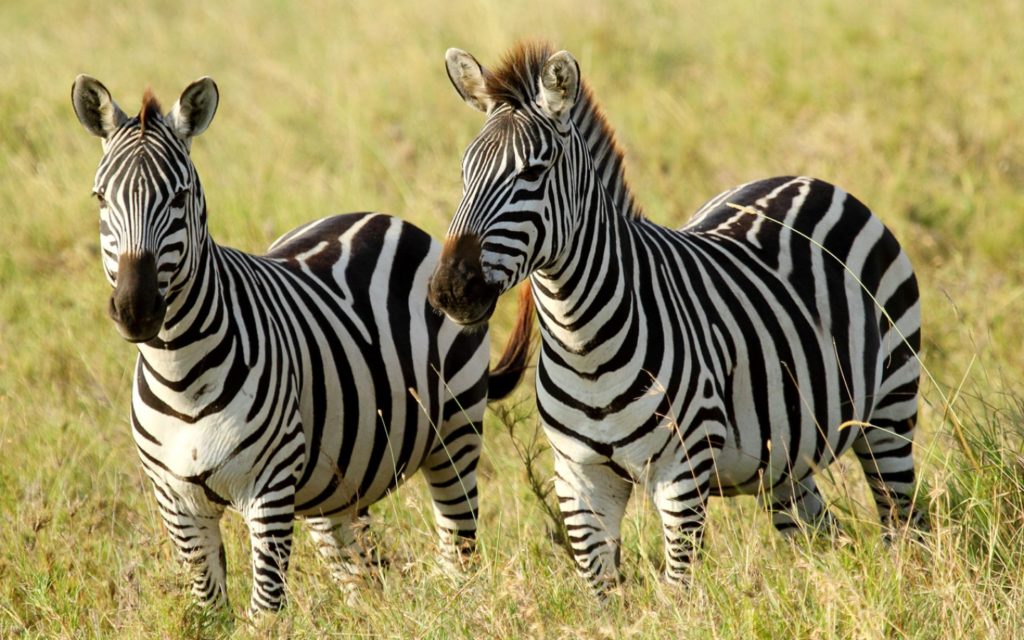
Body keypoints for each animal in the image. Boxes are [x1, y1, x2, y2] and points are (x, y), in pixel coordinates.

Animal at [71, 75, 532, 614]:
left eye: (179, 197)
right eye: (101, 199)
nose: (136, 308)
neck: (180, 370)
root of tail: (379, 217)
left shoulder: (267, 490)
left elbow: (264, 613)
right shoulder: (178, 505)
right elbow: (210, 612)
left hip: (455, 433)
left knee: (457, 547)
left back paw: (458, 607)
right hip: (338, 481)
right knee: (362, 578)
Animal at [427, 42, 925, 595]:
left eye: (534, 172)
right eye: (464, 173)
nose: (451, 290)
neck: (583, 344)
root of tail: (805, 180)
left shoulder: (681, 473)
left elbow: (679, 591)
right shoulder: (580, 480)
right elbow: (601, 592)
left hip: (890, 409)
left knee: (903, 520)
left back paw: (909, 584)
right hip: (783, 458)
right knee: (821, 538)